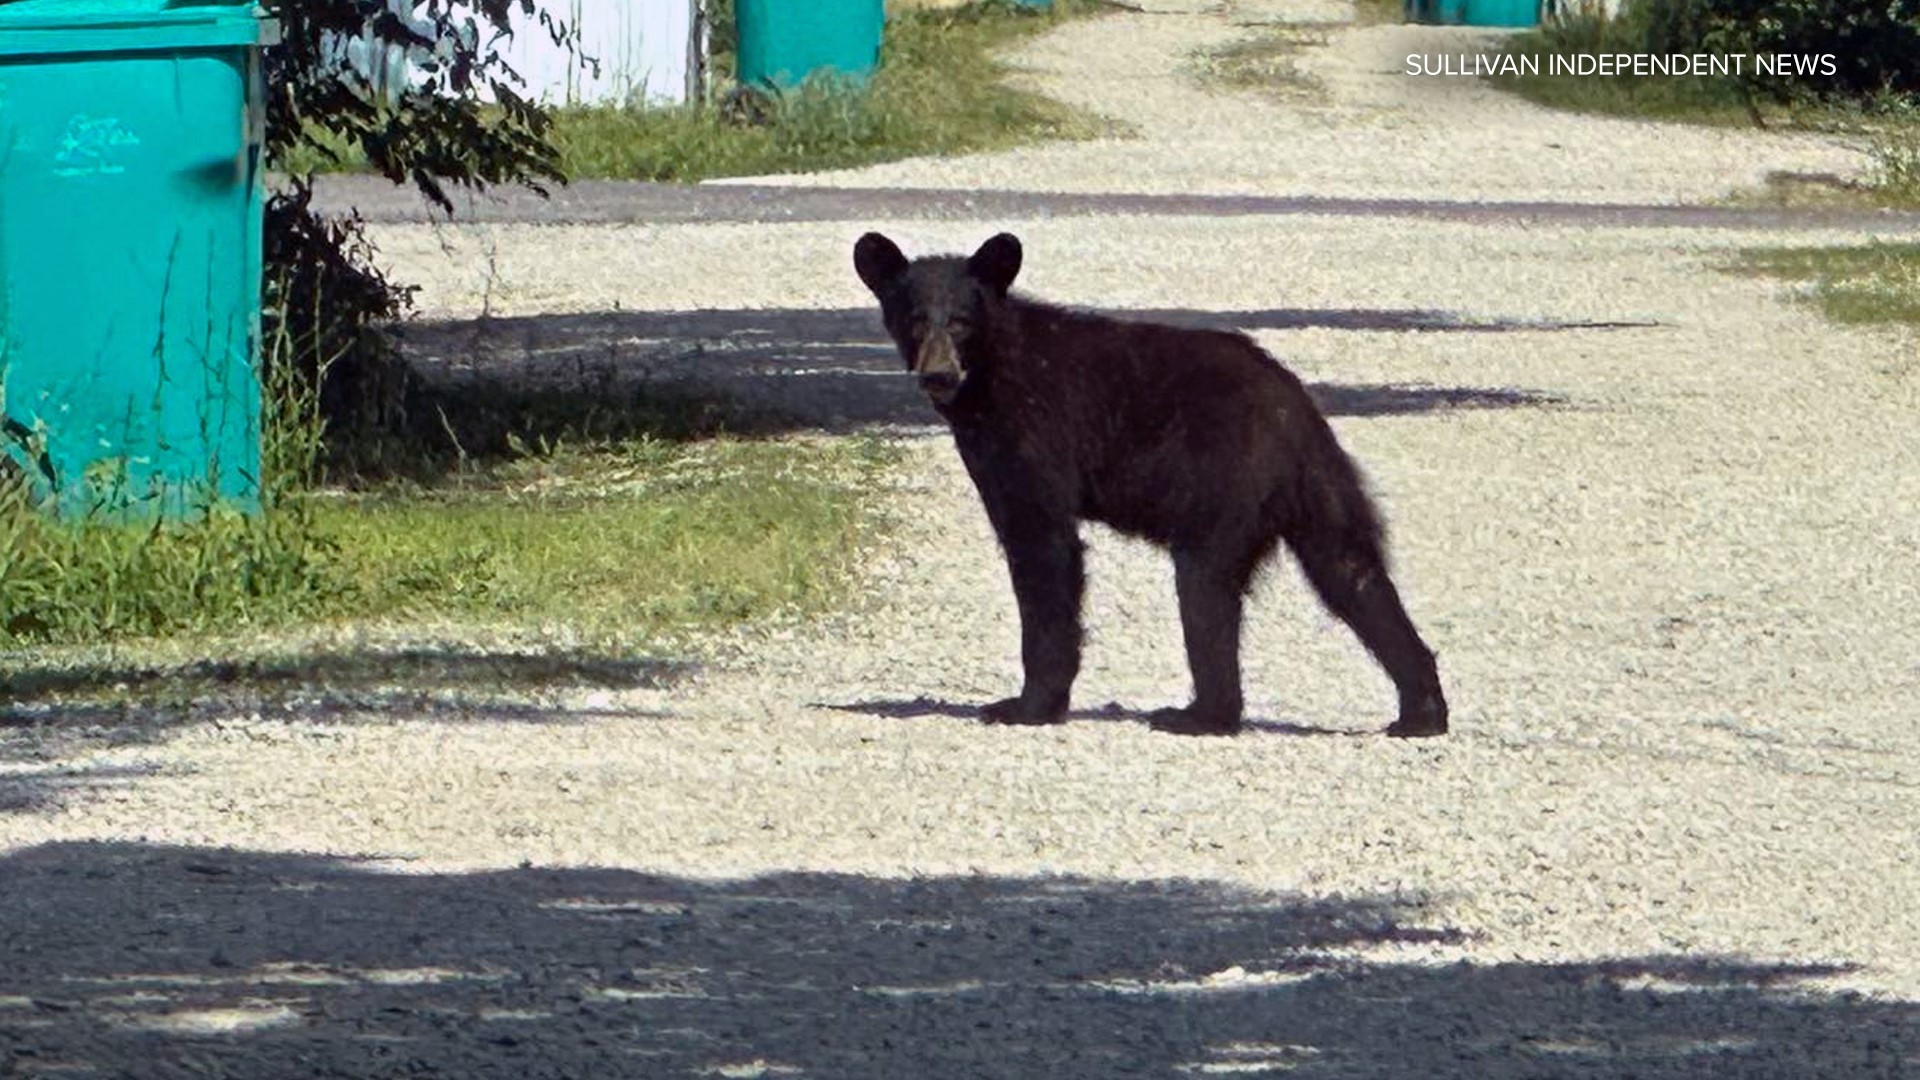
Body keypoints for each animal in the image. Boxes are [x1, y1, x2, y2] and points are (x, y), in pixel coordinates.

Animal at [853, 231, 1449, 738]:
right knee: (1353, 572)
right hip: (1322, 490)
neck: (989, 374)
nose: (938, 373)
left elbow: (1043, 546)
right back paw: (1420, 710)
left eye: (959, 320)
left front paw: (1028, 704)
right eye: (912, 317)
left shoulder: (1034, 430)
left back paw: (1199, 714)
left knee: (1205, 582)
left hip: (1223, 480)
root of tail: (1295, 410)